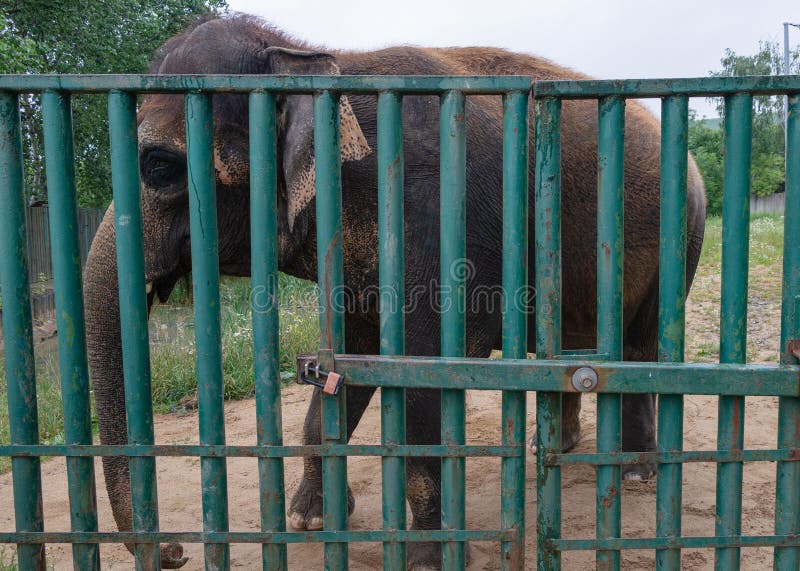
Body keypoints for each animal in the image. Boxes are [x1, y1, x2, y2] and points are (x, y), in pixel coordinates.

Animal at [83, 13, 706, 570]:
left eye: (158, 166)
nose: (175, 552)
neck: (322, 61)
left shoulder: (440, 224)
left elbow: (426, 373)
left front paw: (427, 559)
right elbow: (350, 363)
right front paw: (311, 519)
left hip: (684, 236)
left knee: (641, 349)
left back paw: (635, 470)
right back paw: (559, 446)